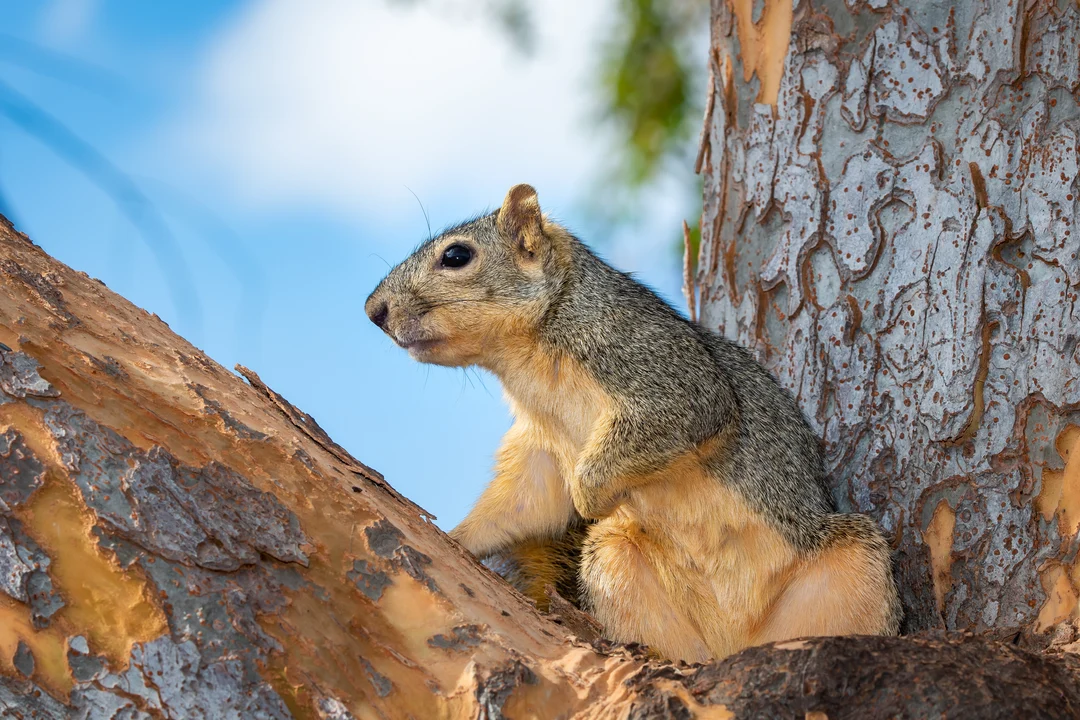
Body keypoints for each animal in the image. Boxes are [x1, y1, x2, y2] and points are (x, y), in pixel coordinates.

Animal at [365, 184, 901, 661]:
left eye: (456, 256)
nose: (374, 311)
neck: (523, 361)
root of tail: (734, 642)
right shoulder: (540, 446)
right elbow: (527, 500)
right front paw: (458, 538)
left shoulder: (650, 361)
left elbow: (681, 411)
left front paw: (592, 498)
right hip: (616, 560)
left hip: (853, 564)